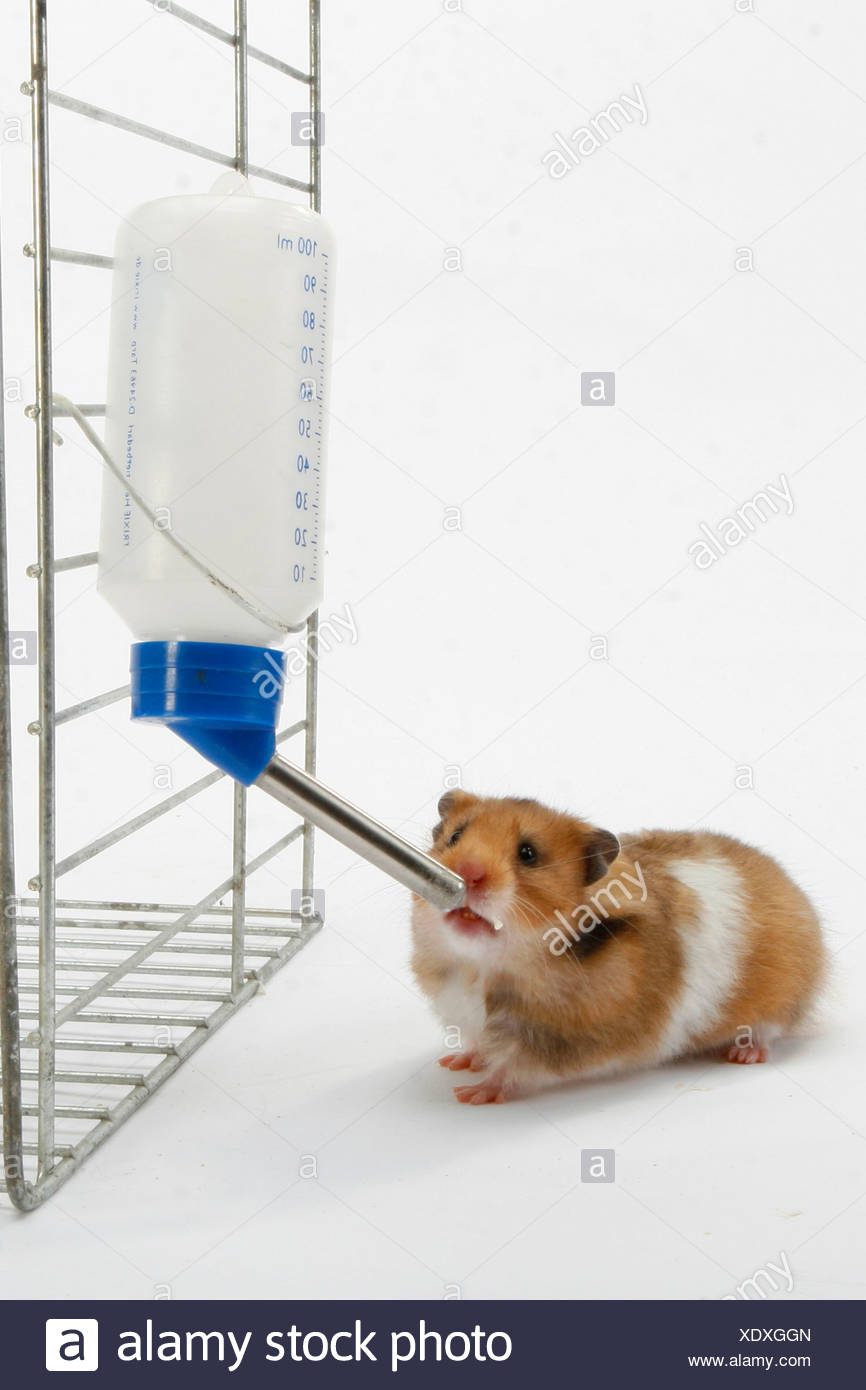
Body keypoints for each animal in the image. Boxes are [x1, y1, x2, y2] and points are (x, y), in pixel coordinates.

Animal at [410, 790, 827, 1104]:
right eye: (454, 837)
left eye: (528, 854)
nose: (467, 871)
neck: (480, 966)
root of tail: (792, 888)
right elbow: (478, 1044)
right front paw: (456, 1063)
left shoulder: (567, 1042)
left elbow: (514, 1068)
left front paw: (470, 1094)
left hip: (781, 999)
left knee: (770, 1031)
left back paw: (744, 1054)